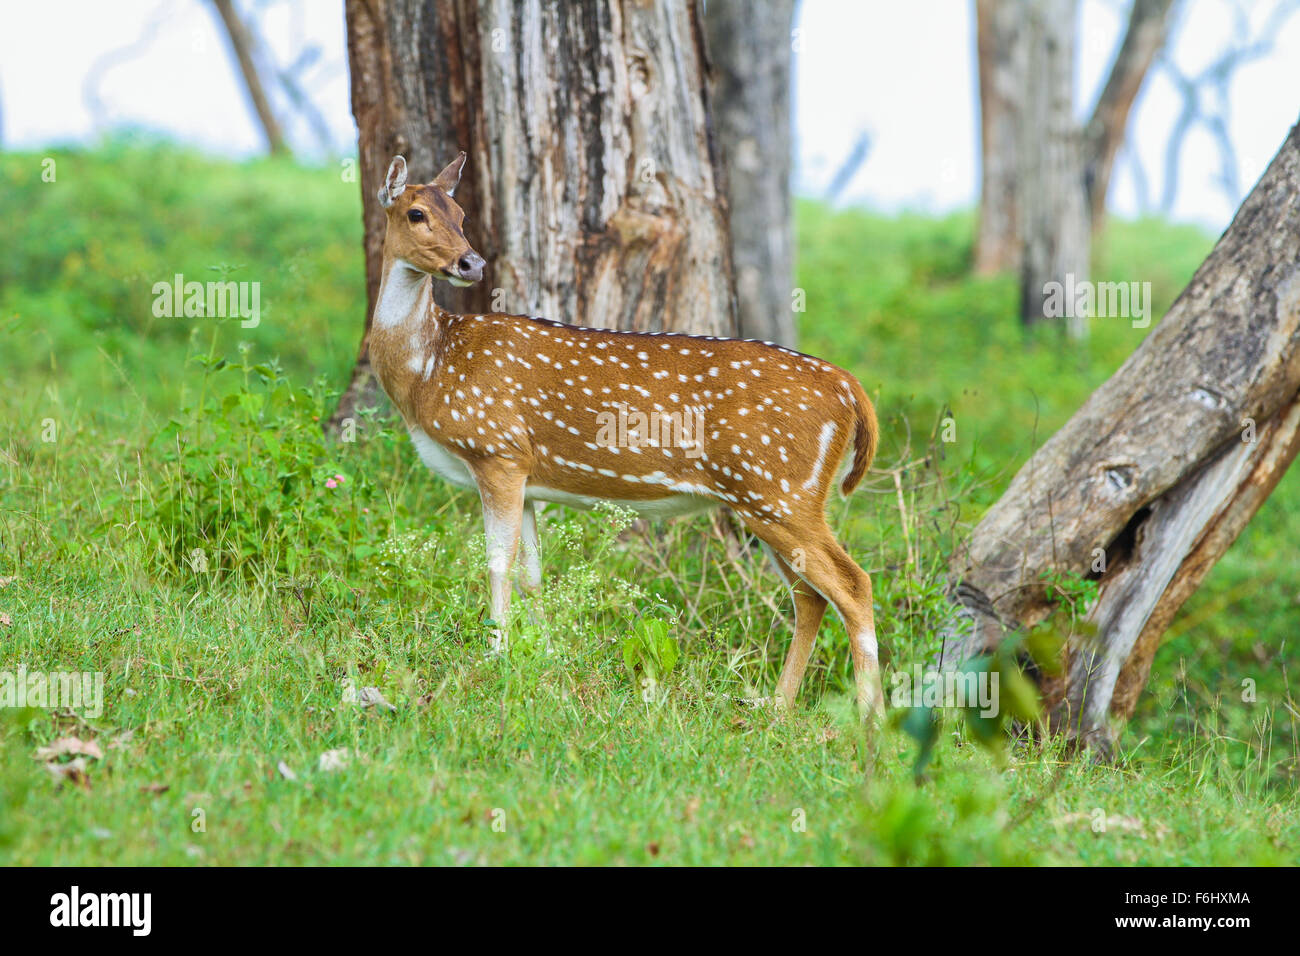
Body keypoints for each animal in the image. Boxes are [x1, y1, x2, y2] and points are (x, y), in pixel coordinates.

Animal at [365, 153, 885, 718]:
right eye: (417, 212)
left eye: (460, 214)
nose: (471, 264)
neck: (429, 368)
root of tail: (850, 389)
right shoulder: (523, 471)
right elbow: (532, 573)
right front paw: (543, 657)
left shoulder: (494, 448)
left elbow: (497, 565)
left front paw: (494, 656)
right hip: (769, 497)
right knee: (810, 594)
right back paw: (778, 705)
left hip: (780, 490)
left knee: (853, 584)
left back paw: (870, 716)